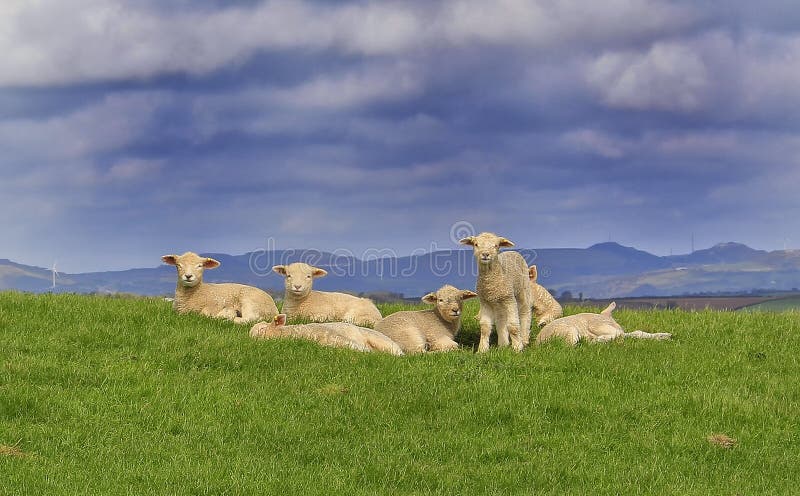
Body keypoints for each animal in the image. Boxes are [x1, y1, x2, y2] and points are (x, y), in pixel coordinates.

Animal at [535, 302, 672, 346]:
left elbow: (636, 333)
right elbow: (626, 334)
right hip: (570, 331)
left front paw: (665, 336)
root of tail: (539, 341)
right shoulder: (598, 326)